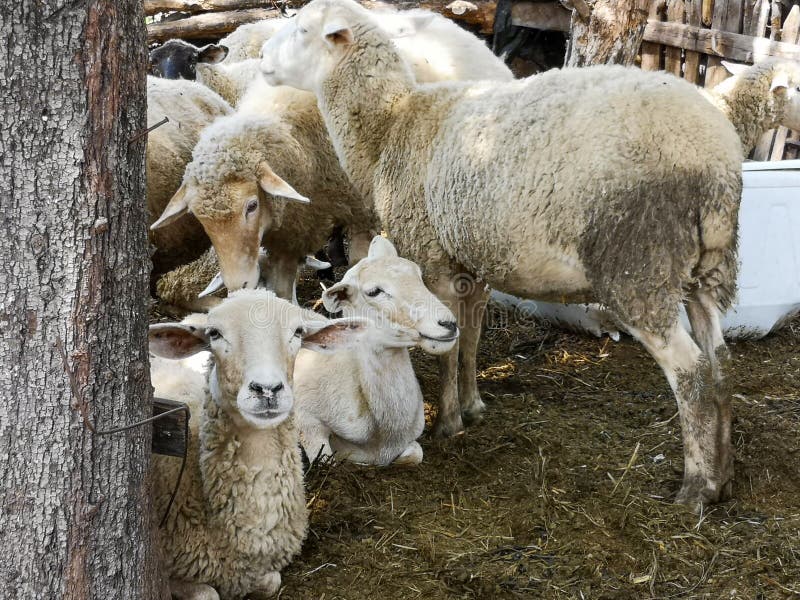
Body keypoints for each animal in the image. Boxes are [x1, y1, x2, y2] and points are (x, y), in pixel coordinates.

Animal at [149, 288, 394, 599]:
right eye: (215, 334)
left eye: (298, 332)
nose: (267, 390)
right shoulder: (169, 569)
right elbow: (209, 594)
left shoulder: (266, 571)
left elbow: (271, 583)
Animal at [293, 236, 458, 465]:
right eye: (374, 292)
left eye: (418, 275)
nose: (449, 323)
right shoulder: (306, 421)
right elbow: (327, 459)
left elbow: (415, 454)